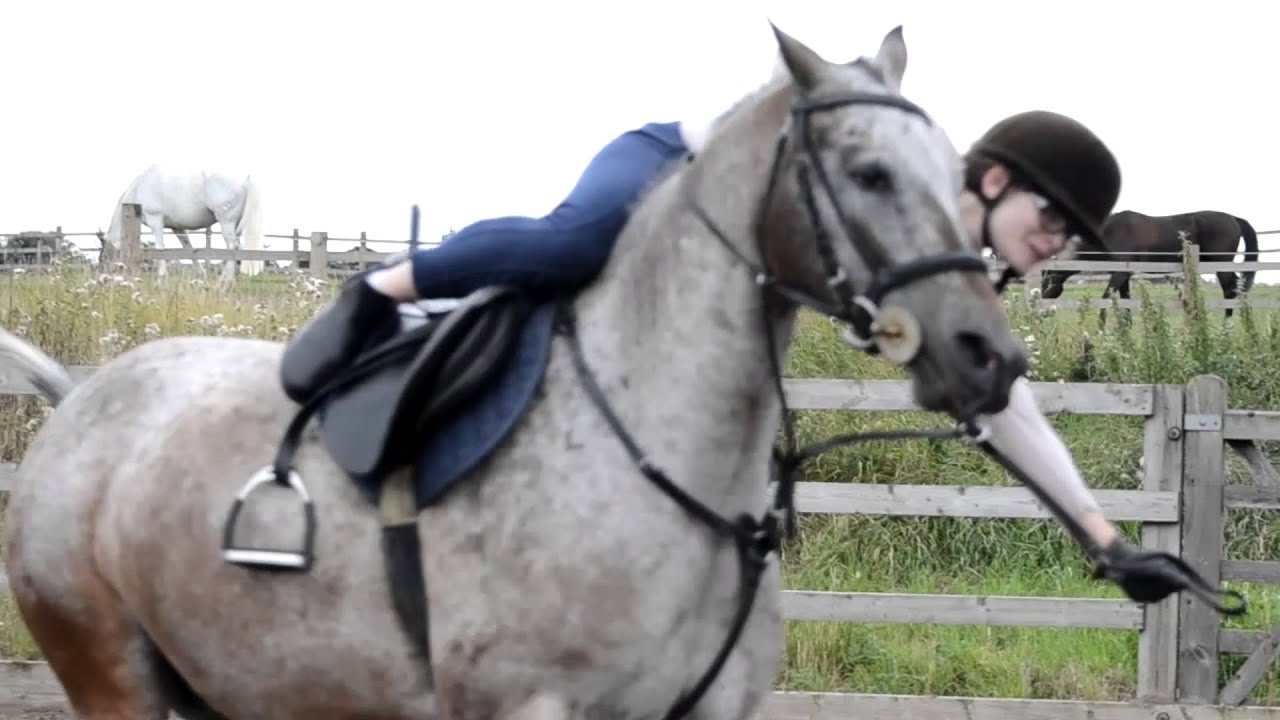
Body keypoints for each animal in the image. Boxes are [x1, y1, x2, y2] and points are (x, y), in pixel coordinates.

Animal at [97, 164, 267, 283]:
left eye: (103, 258)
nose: (104, 278)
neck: (139, 189)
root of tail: (246, 178)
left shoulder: (155, 220)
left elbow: (160, 248)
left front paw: (162, 277)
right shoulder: (177, 228)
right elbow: (189, 249)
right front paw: (201, 275)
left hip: (226, 222)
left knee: (233, 248)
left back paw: (225, 281)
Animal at [1040, 209, 1259, 318]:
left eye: (1045, 281)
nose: (1041, 312)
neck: (1110, 234)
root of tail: (1234, 219)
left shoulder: (1118, 275)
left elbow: (1105, 300)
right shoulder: (1123, 276)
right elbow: (1125, 306)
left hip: (1221, 264)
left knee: (1230, 290)